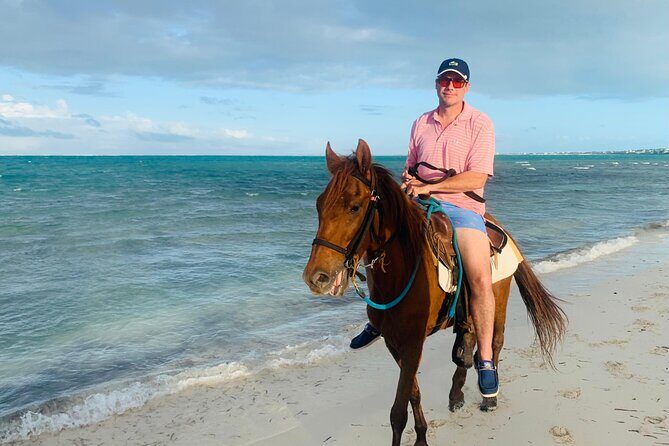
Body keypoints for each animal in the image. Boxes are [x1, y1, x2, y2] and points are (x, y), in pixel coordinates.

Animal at [302, 139, 567, 446]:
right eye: (319, 205)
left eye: (354, 207)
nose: (316, 277)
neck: (402, 272)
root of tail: (495, 225)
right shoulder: (394, 342)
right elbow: (413, 395)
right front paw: (421, 437)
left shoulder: (413, 342)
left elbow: (397, 411)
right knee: (470, 338)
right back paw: (456, 393)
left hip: (496, 297)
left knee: (495, 341)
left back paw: (489, 394)